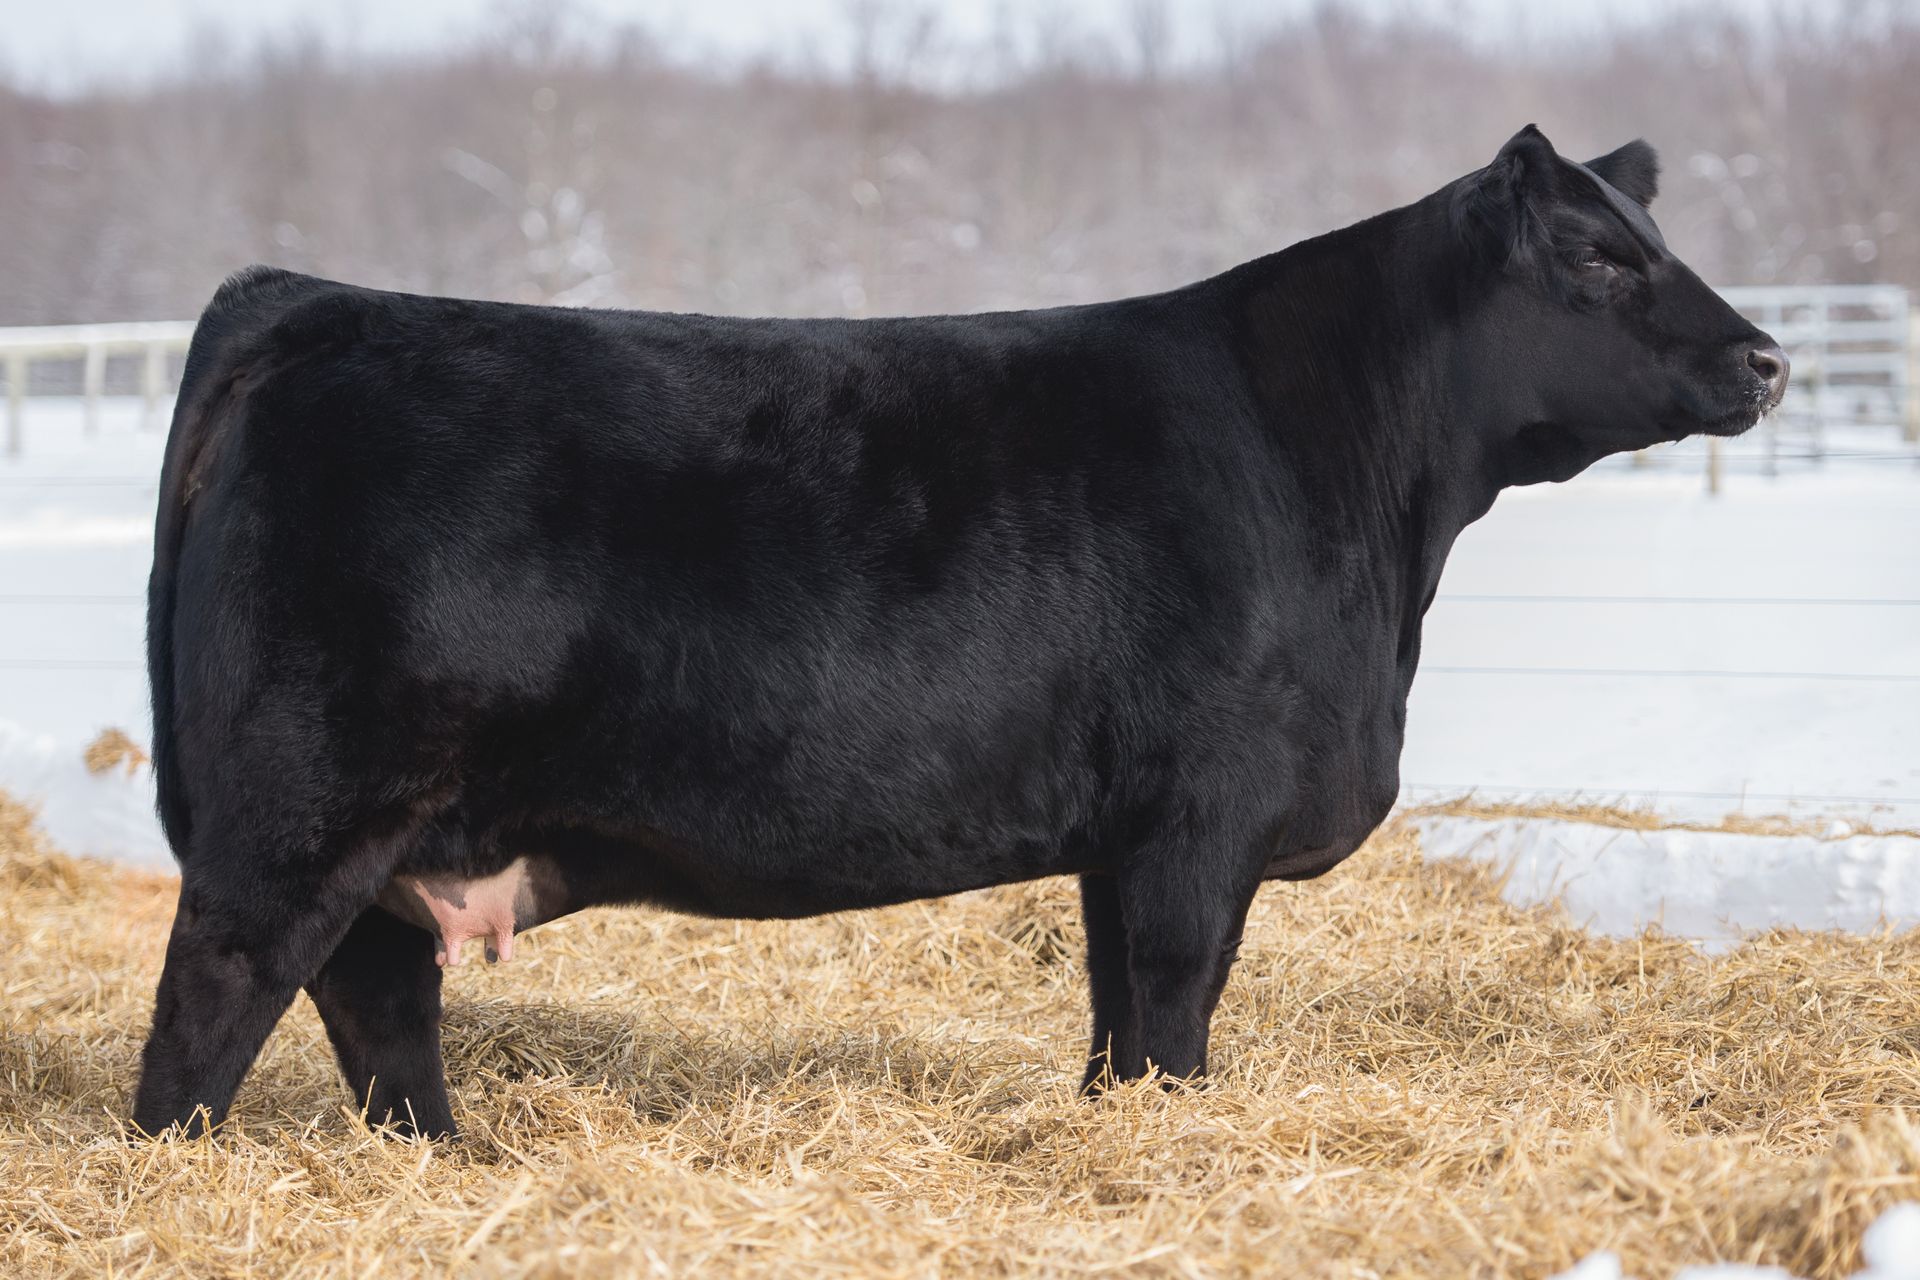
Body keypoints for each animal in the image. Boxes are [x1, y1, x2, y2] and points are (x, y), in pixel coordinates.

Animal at [133, 125, 1787, 1139]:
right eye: (1599, 255)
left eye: (1650, 234)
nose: (1768, 357)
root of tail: (304, 303)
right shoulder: (1201, 819)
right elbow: (1177, 1008)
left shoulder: (1124, 835)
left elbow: (1121, 1025)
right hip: (295, 813)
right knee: (207, 1018)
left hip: (387, 840)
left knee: (379, 1012)